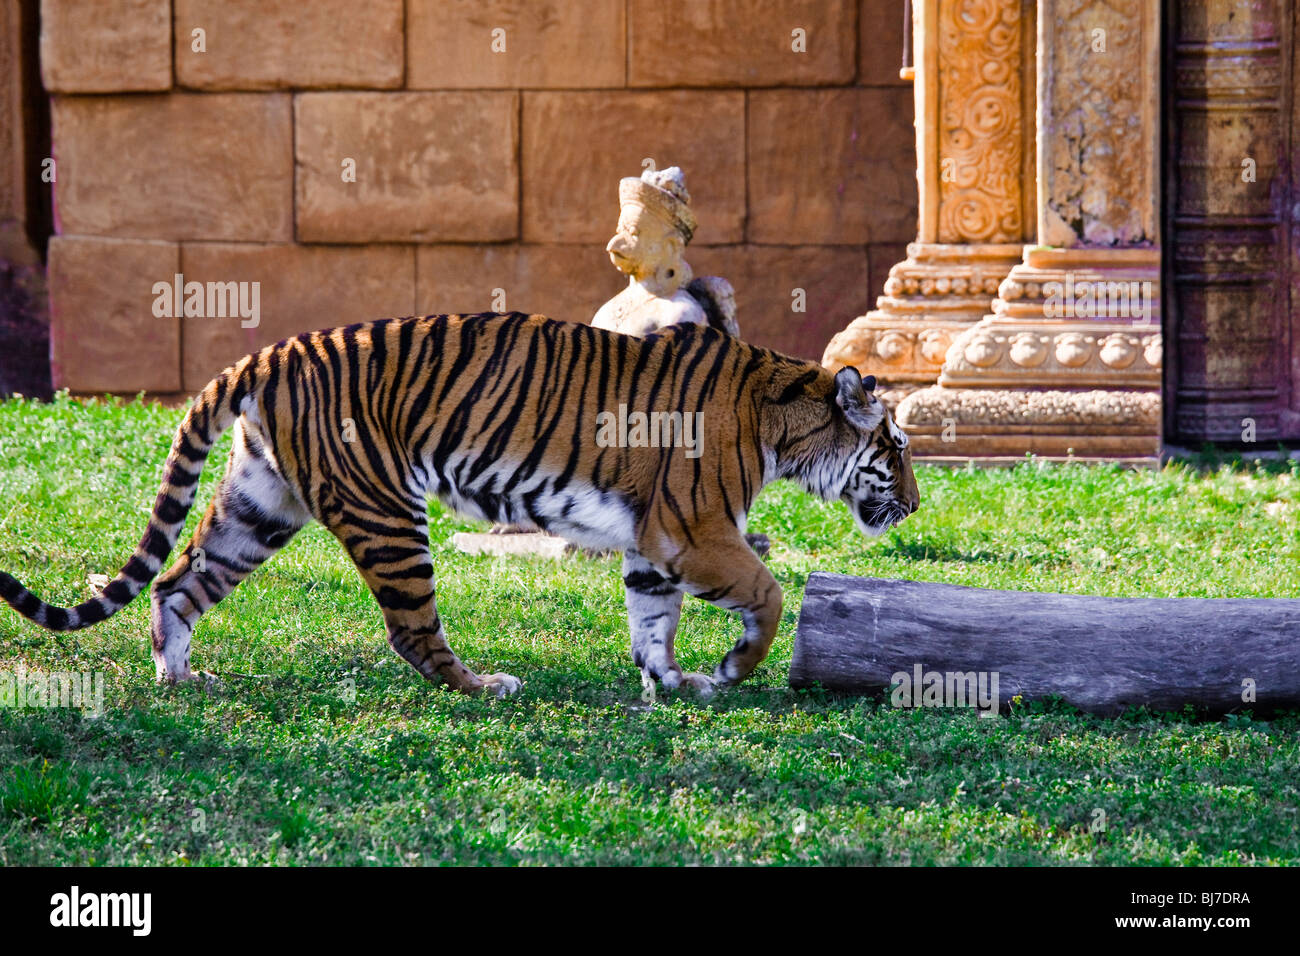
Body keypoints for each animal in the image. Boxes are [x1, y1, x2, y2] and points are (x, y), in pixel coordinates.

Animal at [0, 312, 919, 698]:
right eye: (900, 449)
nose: (912, 506)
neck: (783, 421)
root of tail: (273, 351)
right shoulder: (691, 530)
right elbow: (768, 593)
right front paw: (731, 668)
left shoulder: (654, 547)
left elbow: (651, 621)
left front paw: (671, 681)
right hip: (386, 512)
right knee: (412, 631)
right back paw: (484, 684)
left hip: (261, 507)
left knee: (176, 580)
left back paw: (181, 676)